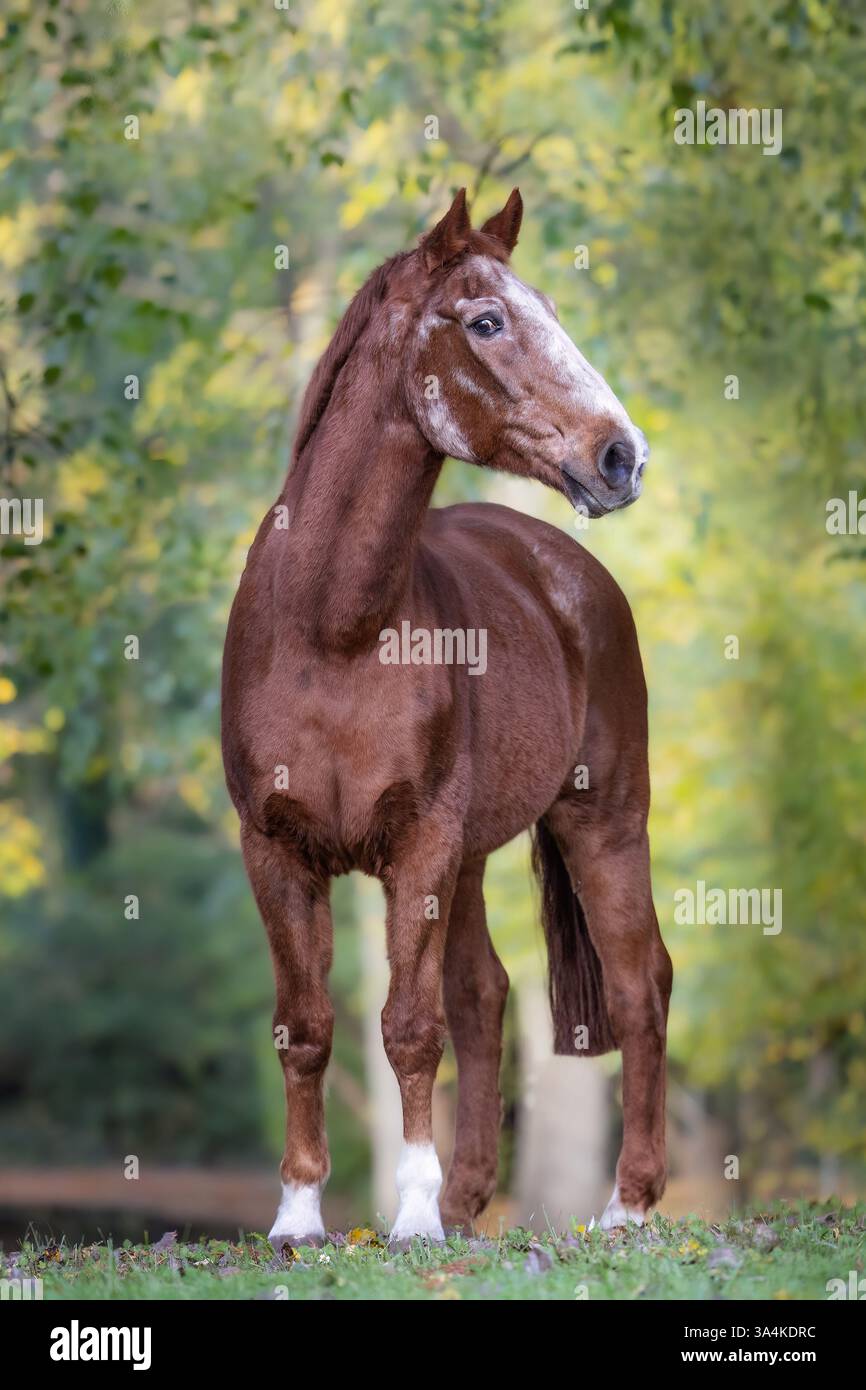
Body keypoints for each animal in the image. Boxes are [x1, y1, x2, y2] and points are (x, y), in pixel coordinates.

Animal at [221, 187, 673, 1247]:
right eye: (487, 320)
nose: (622, 456)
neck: (331, 630)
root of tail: (571, 574)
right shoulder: (276, 849)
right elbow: (307, 1028)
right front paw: (299, 1214)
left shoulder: (418, 843)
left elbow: (408, 1027)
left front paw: (414, 1218)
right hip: (472, 859)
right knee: (486, 994)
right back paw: (473, 1204)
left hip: (604, 824)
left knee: (641, 986)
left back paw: (627, 1205)